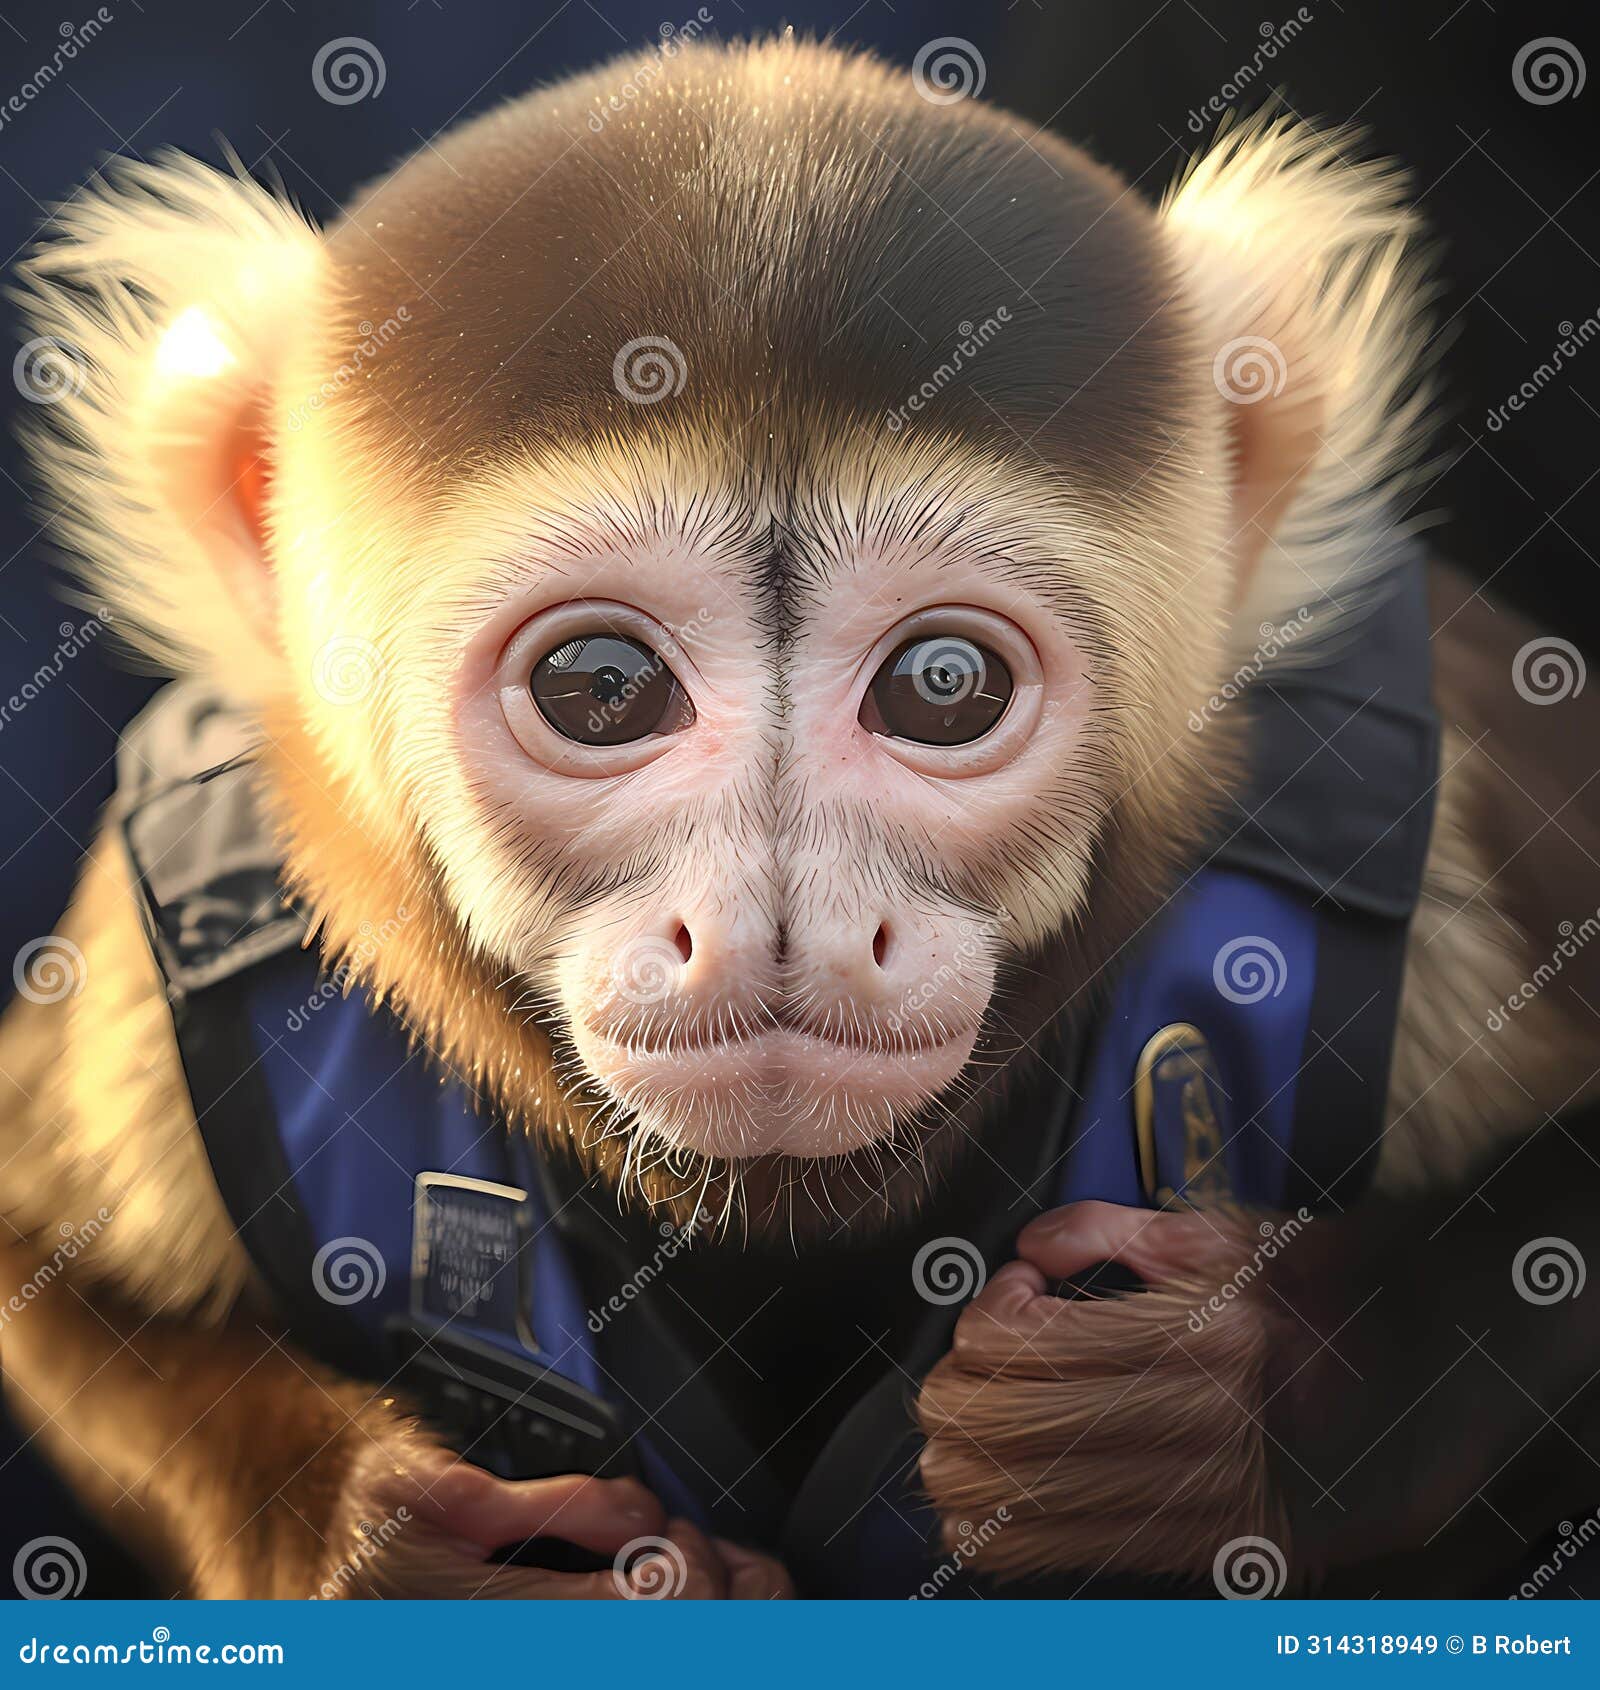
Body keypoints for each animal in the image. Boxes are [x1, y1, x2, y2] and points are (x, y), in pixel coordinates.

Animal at [3, 33, 1599, 1601]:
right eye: (599, 686)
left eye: (944, 686)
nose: (779, 923)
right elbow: (50, 1271)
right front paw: (400, 1544)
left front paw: (1199, 1410)